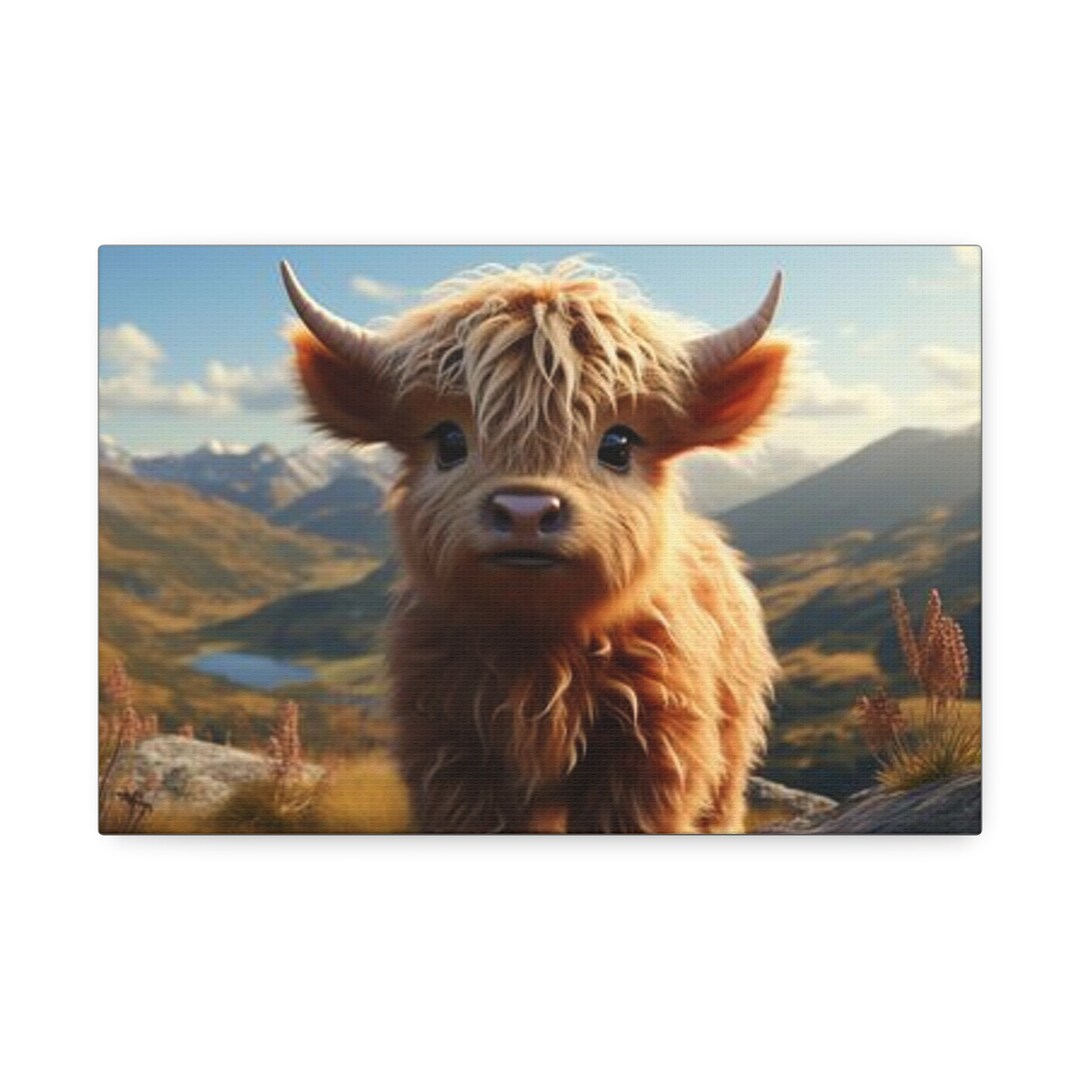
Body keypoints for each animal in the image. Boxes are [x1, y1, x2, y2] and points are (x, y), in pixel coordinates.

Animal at [281, 258, 790, 832]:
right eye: (448, 440)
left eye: (618, 444)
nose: (526, 512)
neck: (537, 649)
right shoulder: (448, 748)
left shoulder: (650, 752)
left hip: (732, 735)